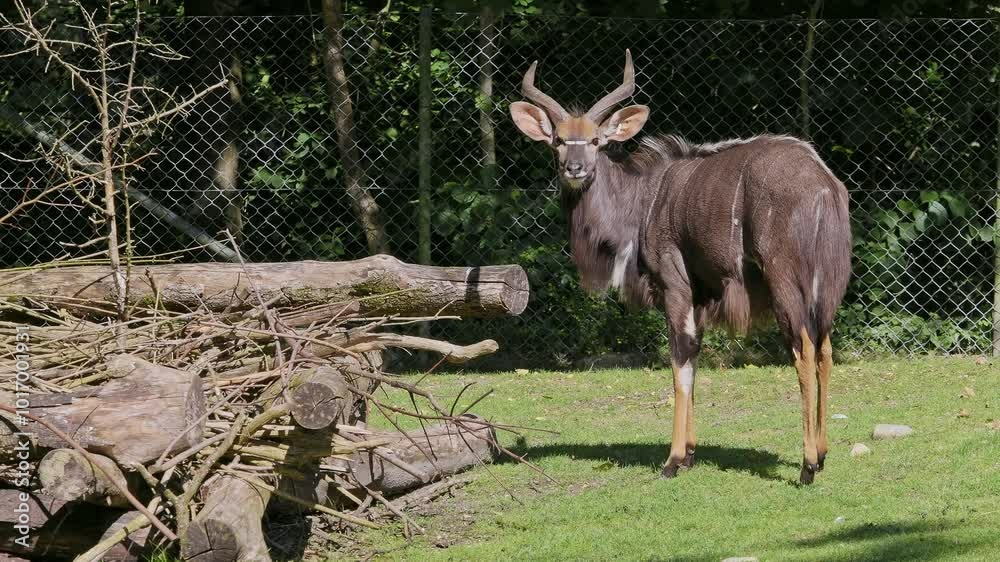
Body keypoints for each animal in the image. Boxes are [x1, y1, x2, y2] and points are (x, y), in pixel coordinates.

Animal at [510, 51, 851, 484]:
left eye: (597, 140)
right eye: (557, 140)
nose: (575, 169)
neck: (641, 201)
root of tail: (824, 185)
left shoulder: (674, 286)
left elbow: (679, 359)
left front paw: (672, 459)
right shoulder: (701, 295)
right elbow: (695, 356)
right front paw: (689, 452)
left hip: (784, 280)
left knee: (803, 348)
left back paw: (807, 465)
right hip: (824, 290)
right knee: (824, 348)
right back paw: (821, 454)